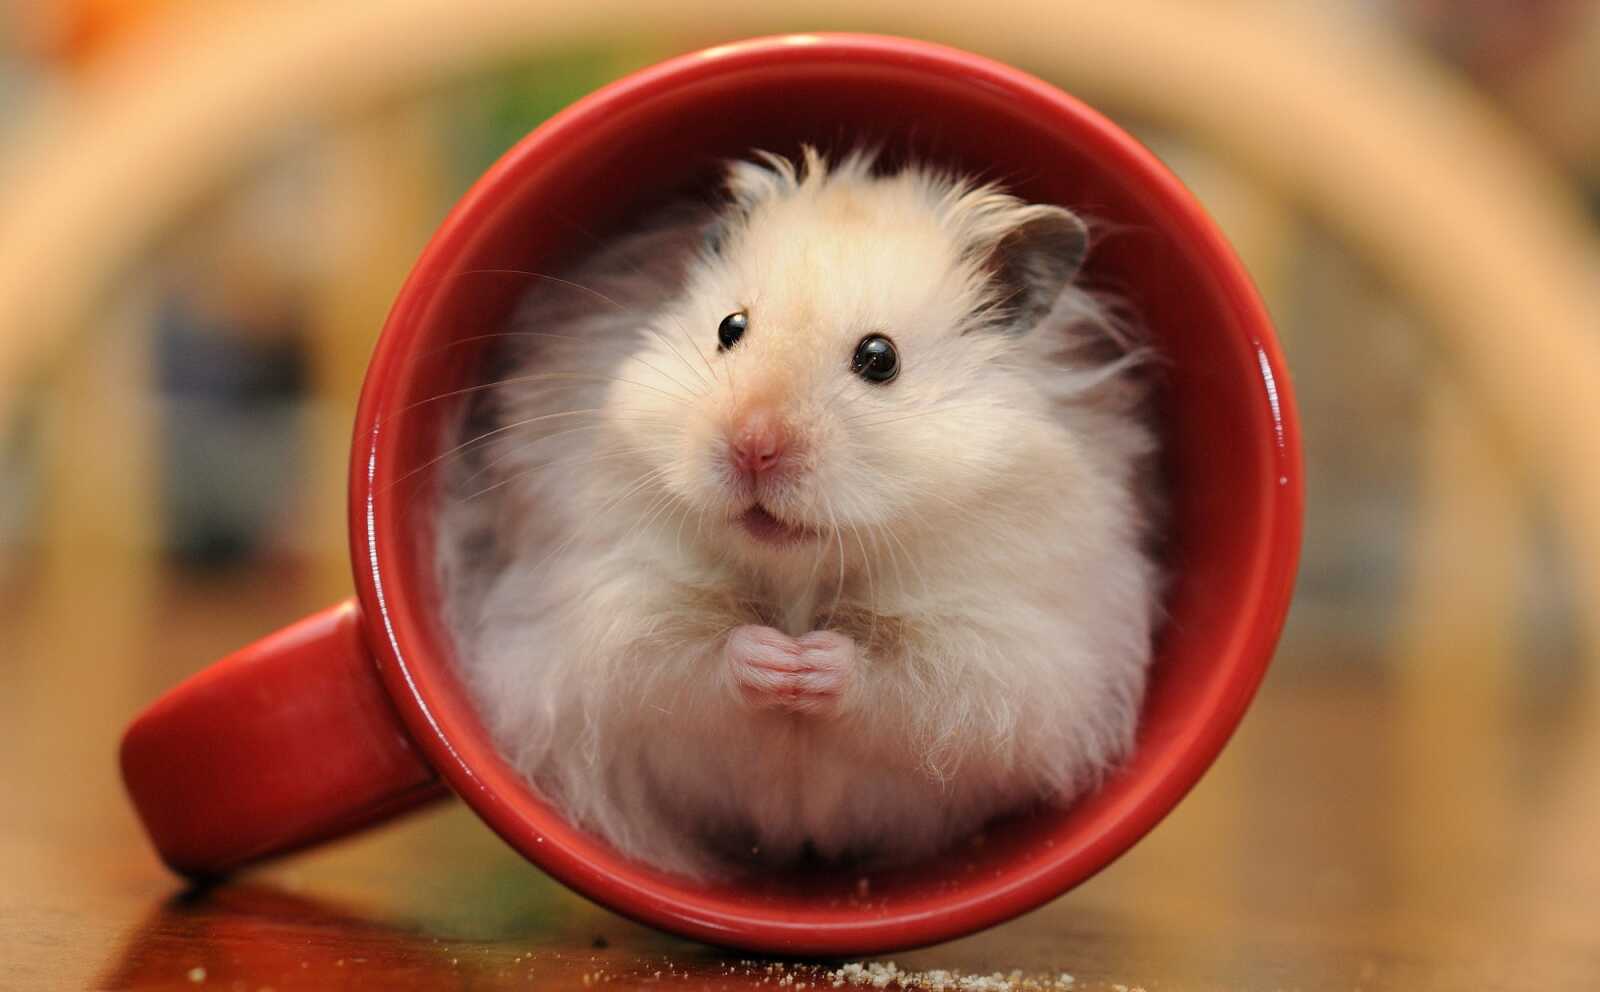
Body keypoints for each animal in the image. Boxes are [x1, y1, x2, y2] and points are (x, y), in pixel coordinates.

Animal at [436, 148, 1162, 880]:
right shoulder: (614, 615)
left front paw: (808, 662)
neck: (797, 574)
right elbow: (686, 659)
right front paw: (773, 660)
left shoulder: (1003, 656)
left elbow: (904, 685)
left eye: (880, 358)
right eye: (729, 329)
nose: (753, 446)